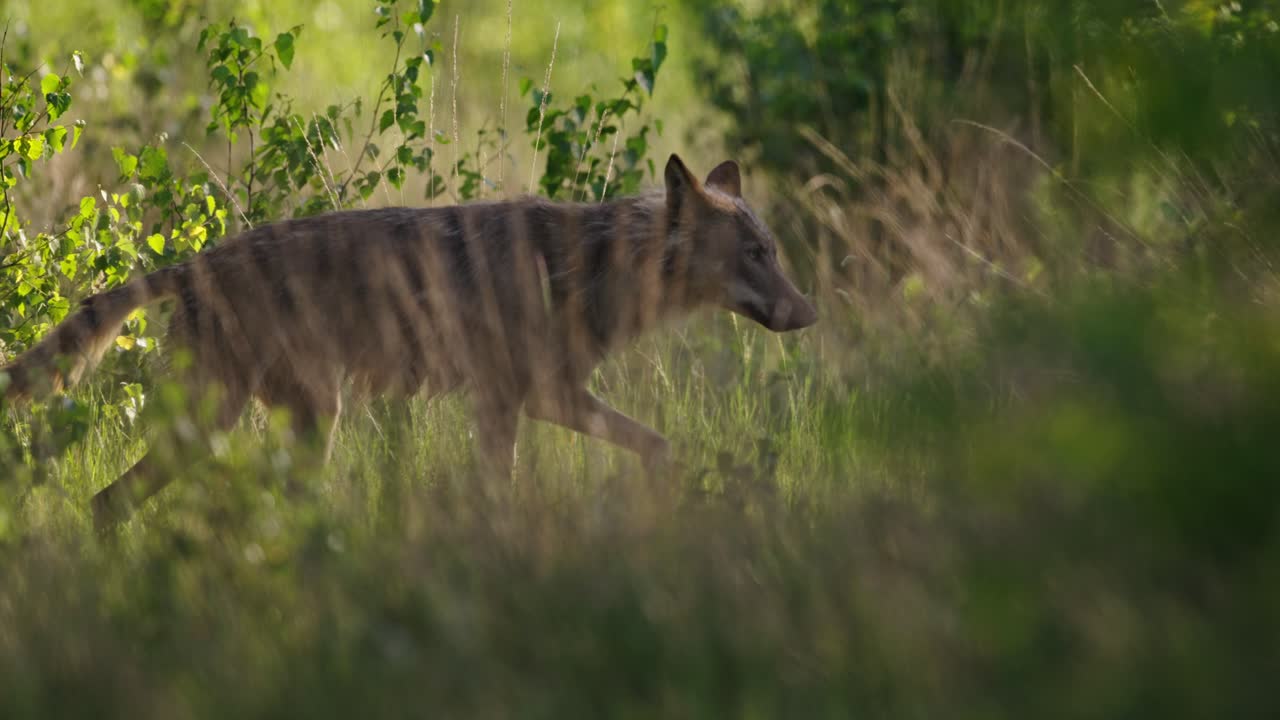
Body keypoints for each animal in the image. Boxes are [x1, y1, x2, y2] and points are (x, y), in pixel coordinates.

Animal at [2, 155, 816, 531]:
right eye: (754, 255)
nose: (809, 314)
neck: (593, 263)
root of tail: (195, 262)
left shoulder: (545, 397)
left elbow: (659, 446)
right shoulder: (515, 401)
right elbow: (502, 490)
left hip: (264, 422)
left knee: (109, 504)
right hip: (270, 422)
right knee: (112, 503)